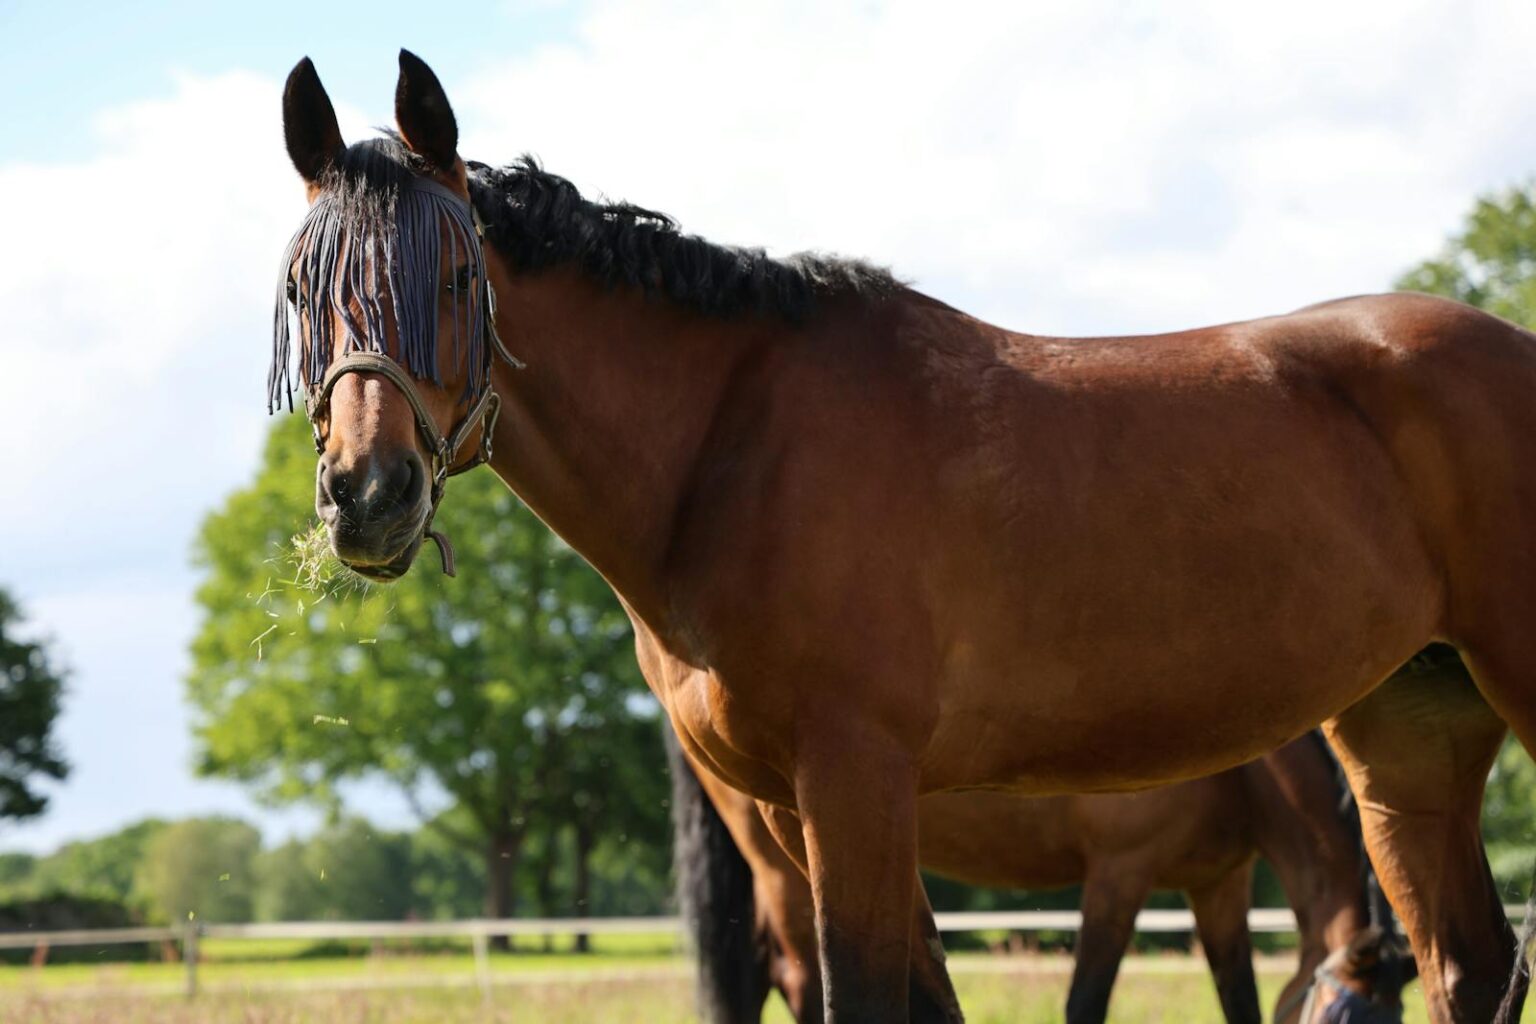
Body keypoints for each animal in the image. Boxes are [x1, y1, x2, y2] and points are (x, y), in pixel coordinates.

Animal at [668, 725, 1415, 1024]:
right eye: (1337, 1018)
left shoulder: (1218, 887)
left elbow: (1241, 1004)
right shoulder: (1118, 875)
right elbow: (1086, 1002)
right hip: (788, 863)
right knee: (796, 975)